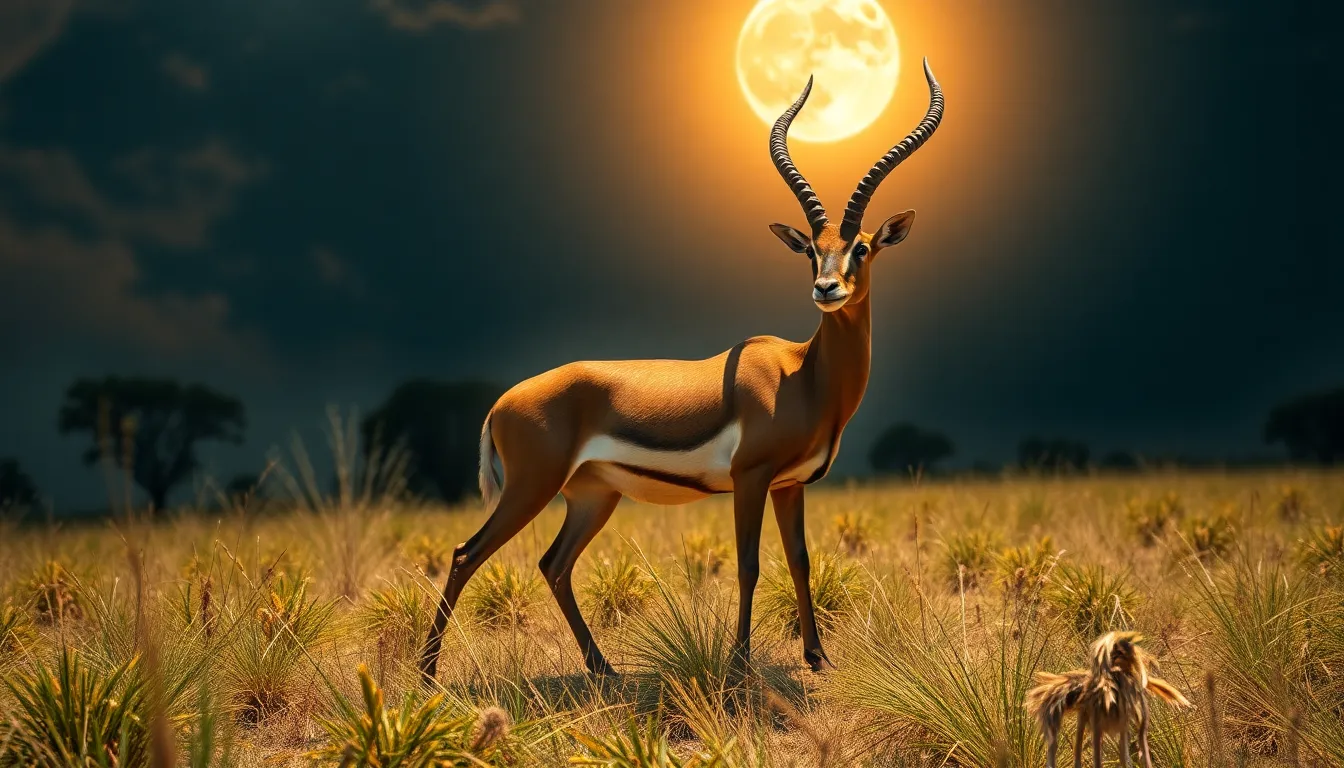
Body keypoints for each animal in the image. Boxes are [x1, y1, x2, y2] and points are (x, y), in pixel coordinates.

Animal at [419, 60, 946, 682]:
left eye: (861, 247)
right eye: (811, 249)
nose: (826, 288)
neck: (803, 374)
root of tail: (500, 403)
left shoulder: (790, 485)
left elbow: (801, 561)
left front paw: (819, 658)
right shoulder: (751, 478)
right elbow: (749, 564)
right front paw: (740, 663)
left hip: (593, 496)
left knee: (554, 564)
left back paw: (604, 668)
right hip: (531, 487)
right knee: (465, 554)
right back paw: (426, 674)